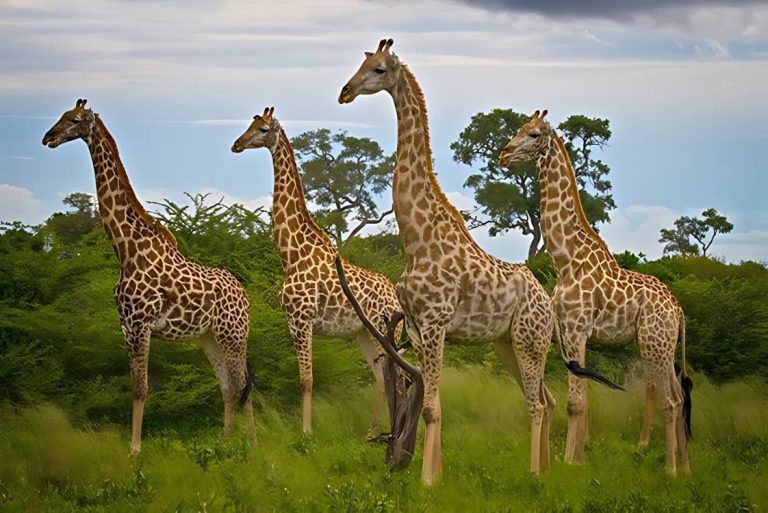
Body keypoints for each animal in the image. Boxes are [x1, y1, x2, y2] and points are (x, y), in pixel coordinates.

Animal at [42, 99, 255, 453]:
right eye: (60, 116)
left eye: (73, 120)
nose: (48, 137)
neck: (126, 249)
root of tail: (244, 294)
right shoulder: (126, 325)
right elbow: (135, 387)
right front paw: (134, 447)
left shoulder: (141, 323)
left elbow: (142, 388)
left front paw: (135, 451)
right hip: (208, 337)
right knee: (228, 384)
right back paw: (226, 442)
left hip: (234, 333)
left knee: (242, 383)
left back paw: (253, 444)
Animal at [231, 106, 403, 436]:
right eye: (249, 124)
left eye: (263, 129)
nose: (236, 144)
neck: (292, 254)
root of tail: (397, 298)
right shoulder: (293, 321)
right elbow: (305, 379)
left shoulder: (301, 319)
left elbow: (306, 380)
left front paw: (306, 433)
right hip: (363, 334)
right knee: (383, 379)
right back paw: (373, 431)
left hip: (386, 332)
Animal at [337, 38, 619, 484]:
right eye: (362, 63)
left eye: (379, 69)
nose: (345, 91)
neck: (417, 239)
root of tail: (547, 301)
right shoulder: (417, 328)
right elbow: (433, 405)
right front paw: (436, 474)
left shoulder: (435, 324)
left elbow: (432, 407)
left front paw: (428, 481)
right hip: (507, 344)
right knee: (545, 398)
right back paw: (544, 470)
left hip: (529, 340)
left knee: (538, 403)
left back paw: (535, 475)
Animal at [499, 110, 692, 474]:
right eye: (518, 129)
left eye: (533, 134)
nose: (504, 153)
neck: (566, 258)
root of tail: (678, 310)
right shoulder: (569, 333)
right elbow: (583, 398)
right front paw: (579, 458)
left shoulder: (576, 330)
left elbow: (576, 402)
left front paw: (567, 462)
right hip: (660, 345)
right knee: (678, 394)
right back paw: (686, 467)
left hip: (654, 344)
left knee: (672, 400)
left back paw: (670, 470)